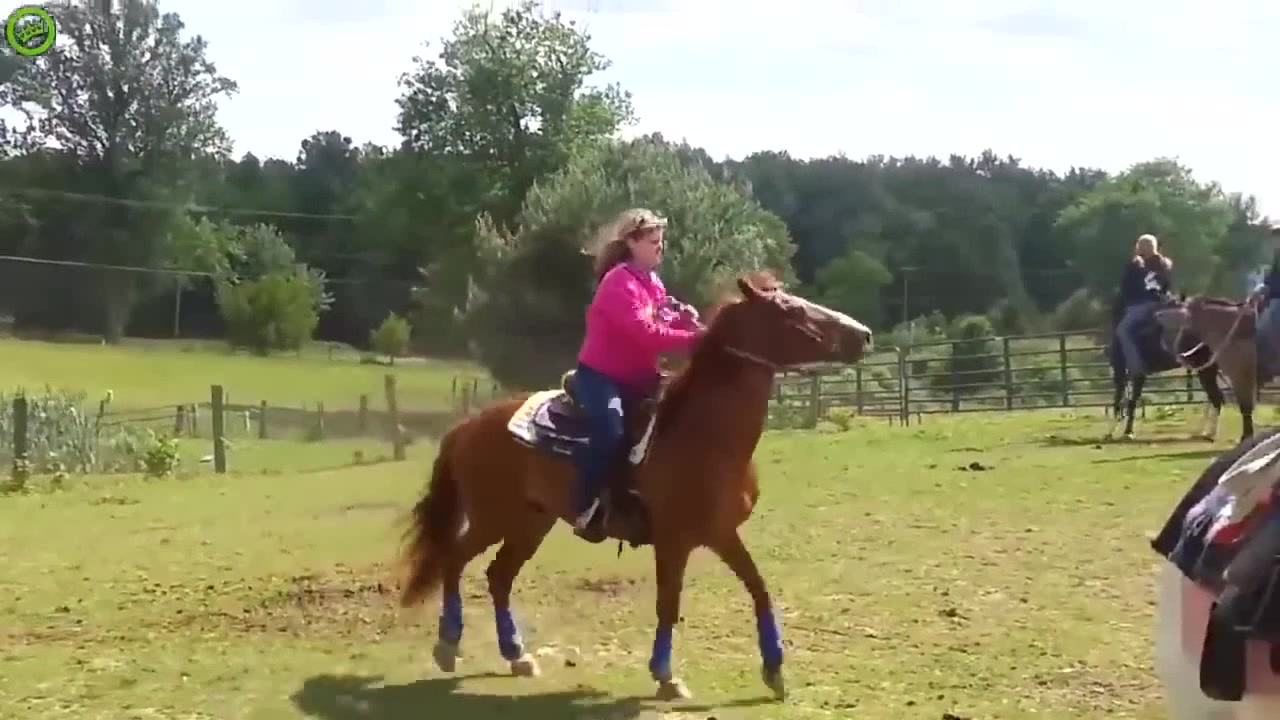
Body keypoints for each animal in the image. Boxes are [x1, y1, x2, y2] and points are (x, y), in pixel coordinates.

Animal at [396, 272, 872, 701]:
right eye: (791, 310)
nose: (863, 335)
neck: (704, 436)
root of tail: (467, 427)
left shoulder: (721, 533)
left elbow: (759, 589)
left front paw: (774, 671)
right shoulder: (674, 540)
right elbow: (669, 604)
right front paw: (666, 677)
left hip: (532, 522)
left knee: (497, 576)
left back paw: (516, 655)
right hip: (493, 517)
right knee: (454, 560)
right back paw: (447, 645)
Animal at [1107, 300, 1226, 441]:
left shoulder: (1128, 372)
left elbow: (1125, 401)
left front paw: (1123, 432)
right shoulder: (1132, 373)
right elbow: (1127, 400)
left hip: (1206, 370)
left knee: (1216, 398)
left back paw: (1210, 434)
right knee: (1214, 398)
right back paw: (1205, 432)